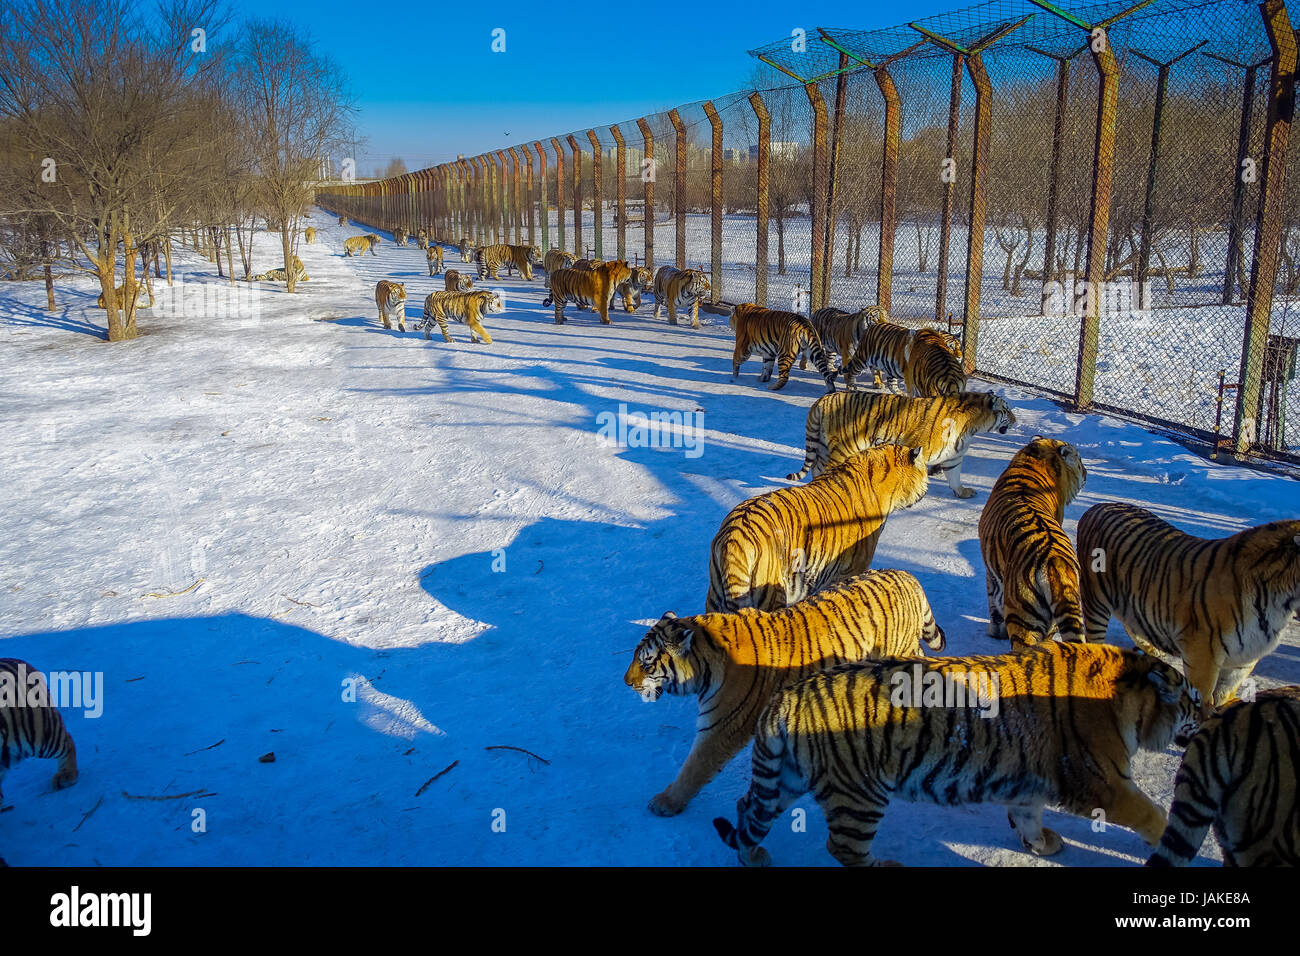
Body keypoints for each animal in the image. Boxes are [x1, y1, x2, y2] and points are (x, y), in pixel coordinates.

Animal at [626, 569, 946, 817]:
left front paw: (665, 803)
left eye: (647, 662)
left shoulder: (720, 729)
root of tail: (906, 575)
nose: (626, 682)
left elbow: (694, 768)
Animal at [713, 641, 1202, 867]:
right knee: (844, 847)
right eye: (1195, 702)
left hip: (788, 777)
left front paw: (1042, 844)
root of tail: (786, 697)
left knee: (746, 807)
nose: (1211, 714)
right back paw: (886, 865)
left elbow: (1028, 815)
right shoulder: (1106, 784)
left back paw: (753, 856)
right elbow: (1153, 813)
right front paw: (1174, 844)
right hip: (859, 795)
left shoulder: (1029, 783)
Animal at [787, 390, 1017, 497]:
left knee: (816, 467)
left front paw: (962, 492)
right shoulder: (920, 446)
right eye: (1006, 410)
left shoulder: (954, 455)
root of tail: (822, 400)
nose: (1015, 420)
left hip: (825, 446)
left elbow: (954, 476)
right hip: (842, 447)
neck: (973, 425)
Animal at [978, 436, 1088, 647]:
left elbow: (993, 601)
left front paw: (994, 631)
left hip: (1023, 616)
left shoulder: (991, 572)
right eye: (1080, 461)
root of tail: (1057, 563)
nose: (1086, 474)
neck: (1034, 460)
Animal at [1077, 503, 1300, 716]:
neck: (1280, 605)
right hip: (1095, 601)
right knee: (1094, 638)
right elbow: (1205, 698)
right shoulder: (1203, 654)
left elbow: (1222, 695)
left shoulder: (1243, 660)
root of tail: (1095, 508)